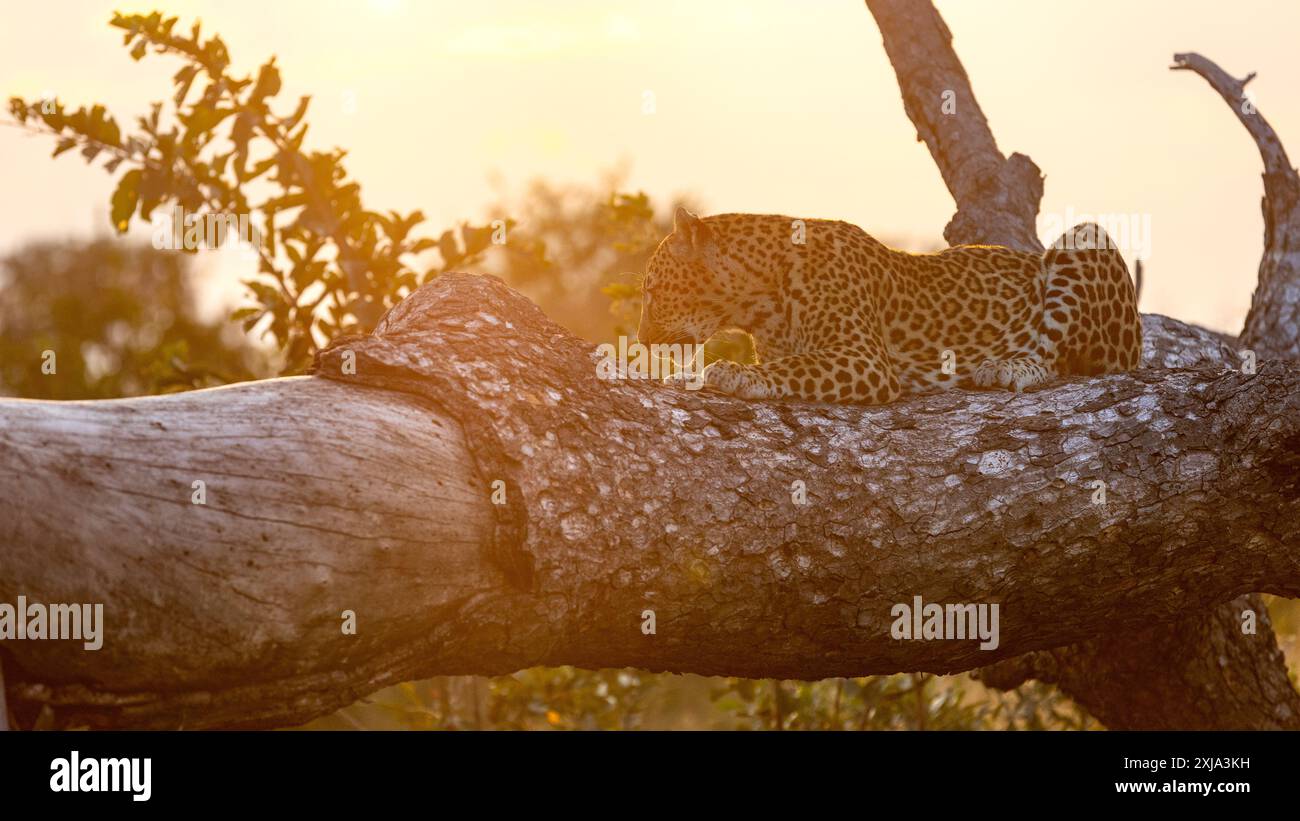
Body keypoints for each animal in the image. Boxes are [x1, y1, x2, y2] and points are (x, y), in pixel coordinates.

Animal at [636, 208, 1142, 405]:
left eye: (652, 290)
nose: (640, 340)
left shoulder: (864, 359)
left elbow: (792, 367)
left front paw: (733, 373)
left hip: (1087, 237)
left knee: (1061, 357)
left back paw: (1008, 367)